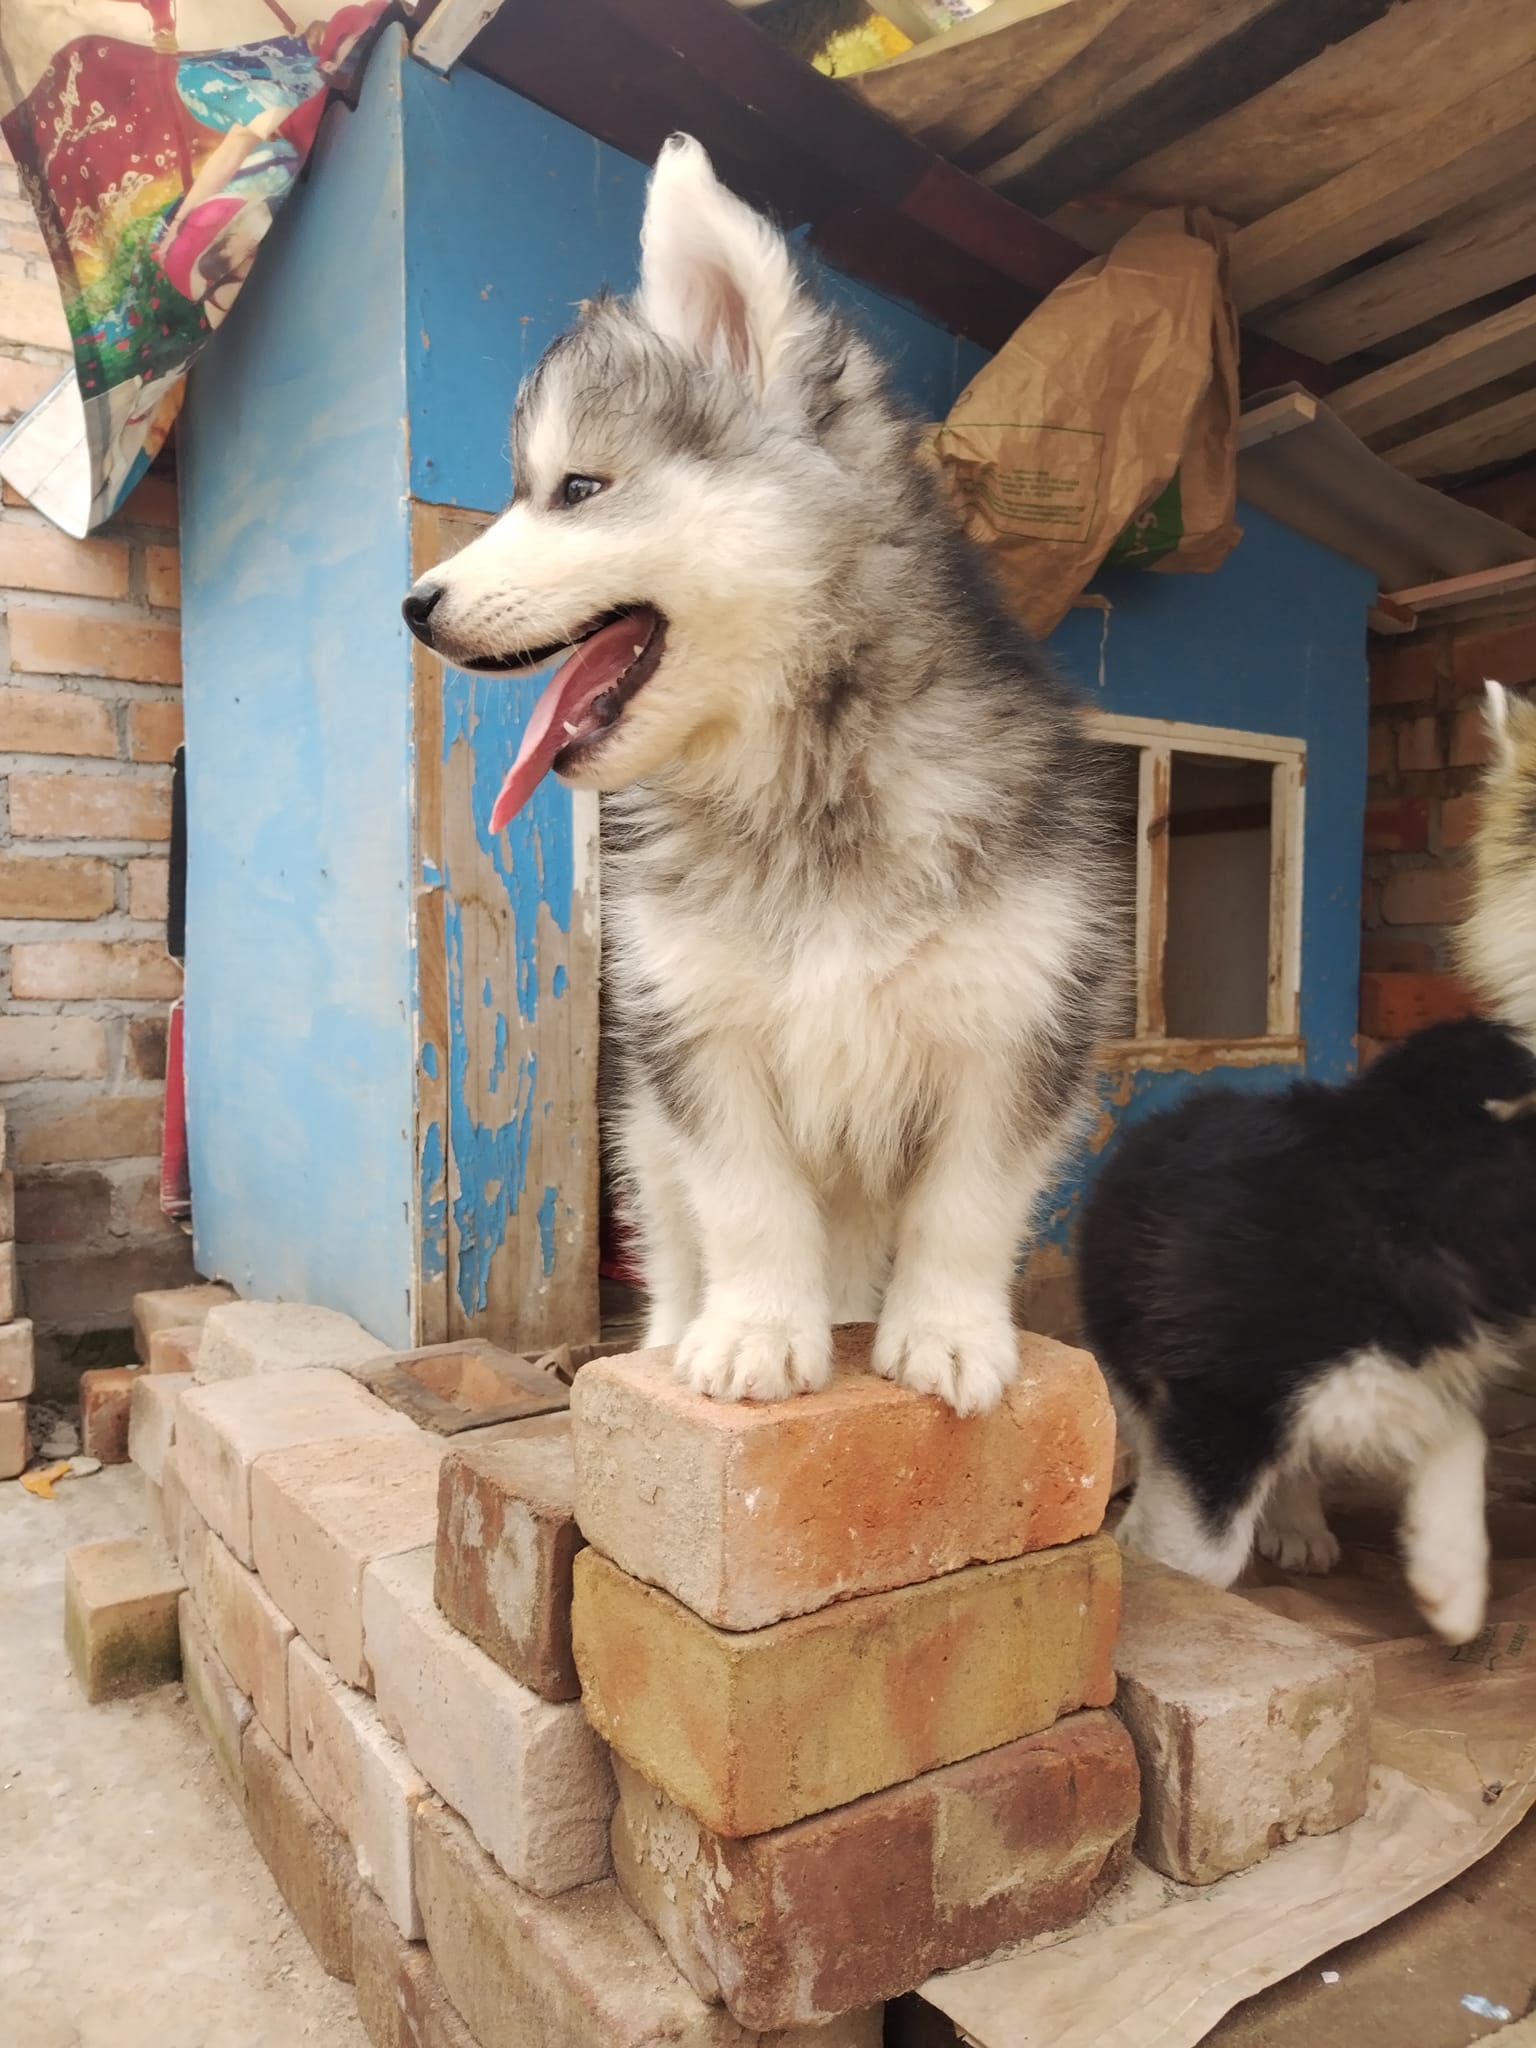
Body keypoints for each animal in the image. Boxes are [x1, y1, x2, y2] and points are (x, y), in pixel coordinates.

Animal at [402, 135, 1122, 1415]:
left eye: (577, 489)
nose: (415, 607)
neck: (806, 773)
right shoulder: (693, 1037)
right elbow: (746, 1197)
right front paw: (751, 1333)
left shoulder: (1021, 1021)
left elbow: (969, 1201)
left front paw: (948, 1333)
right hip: (640, 1140)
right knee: (676, 1245)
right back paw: (673, 1333)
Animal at [1077, 680, 1536, 1642]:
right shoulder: (1218, 1391)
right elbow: (1200, 1553)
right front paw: (1158, 1572)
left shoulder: (1402, 1366)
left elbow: (1455, 1430)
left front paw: (1453, 1579)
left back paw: (1301, 1522)